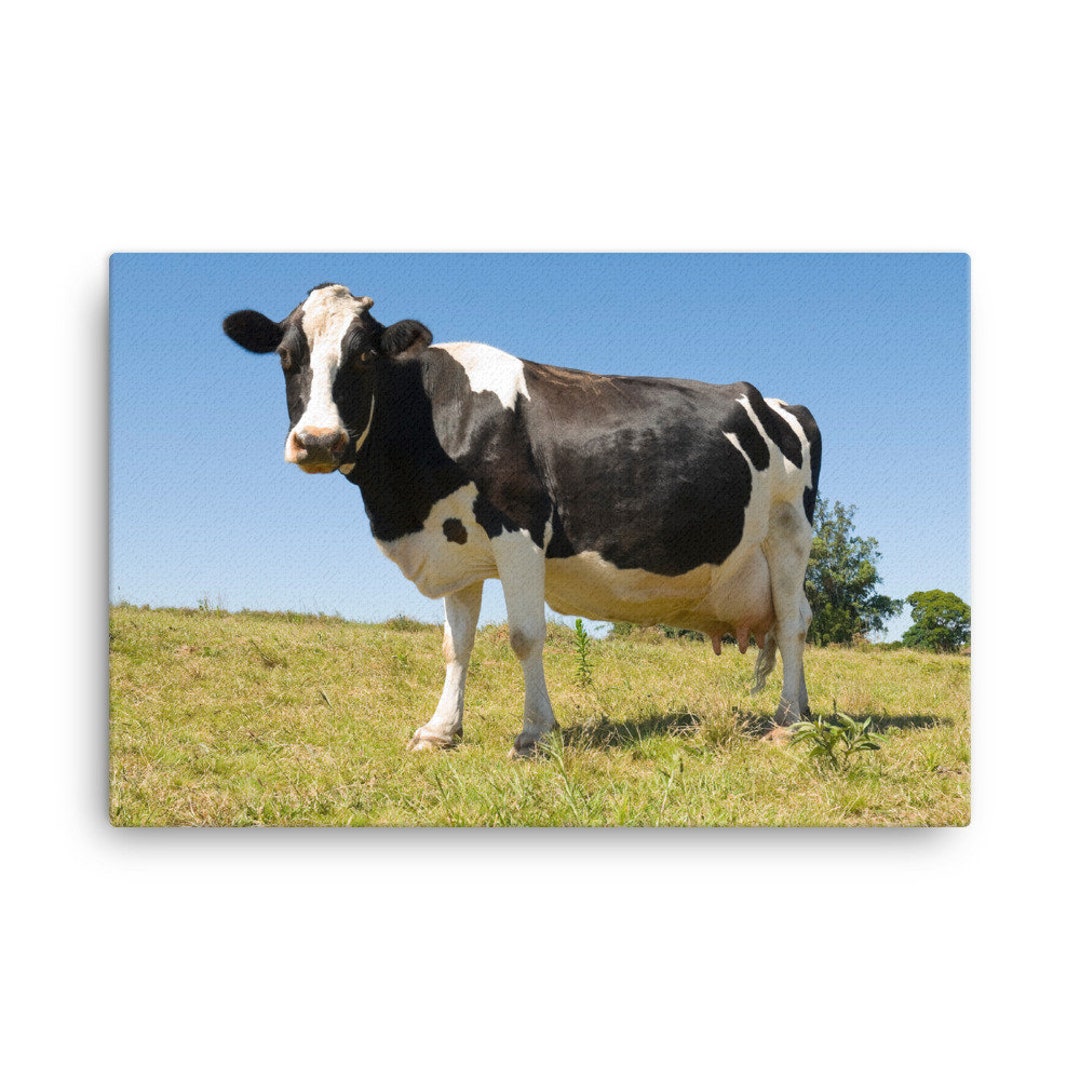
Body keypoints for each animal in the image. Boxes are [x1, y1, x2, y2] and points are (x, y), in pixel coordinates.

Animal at [223, 283, 822, 756]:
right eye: (285, 355)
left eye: (366, 356)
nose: (319, 441)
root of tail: (778, 403)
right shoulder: (453, 549)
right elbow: (455, 646)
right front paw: (440, 731)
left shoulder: (520, 529)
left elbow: (525, 636)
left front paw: (535, 733)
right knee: (796, 619)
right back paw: (802, 710)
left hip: (788, 532)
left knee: (794, 623)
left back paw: (789, 720)